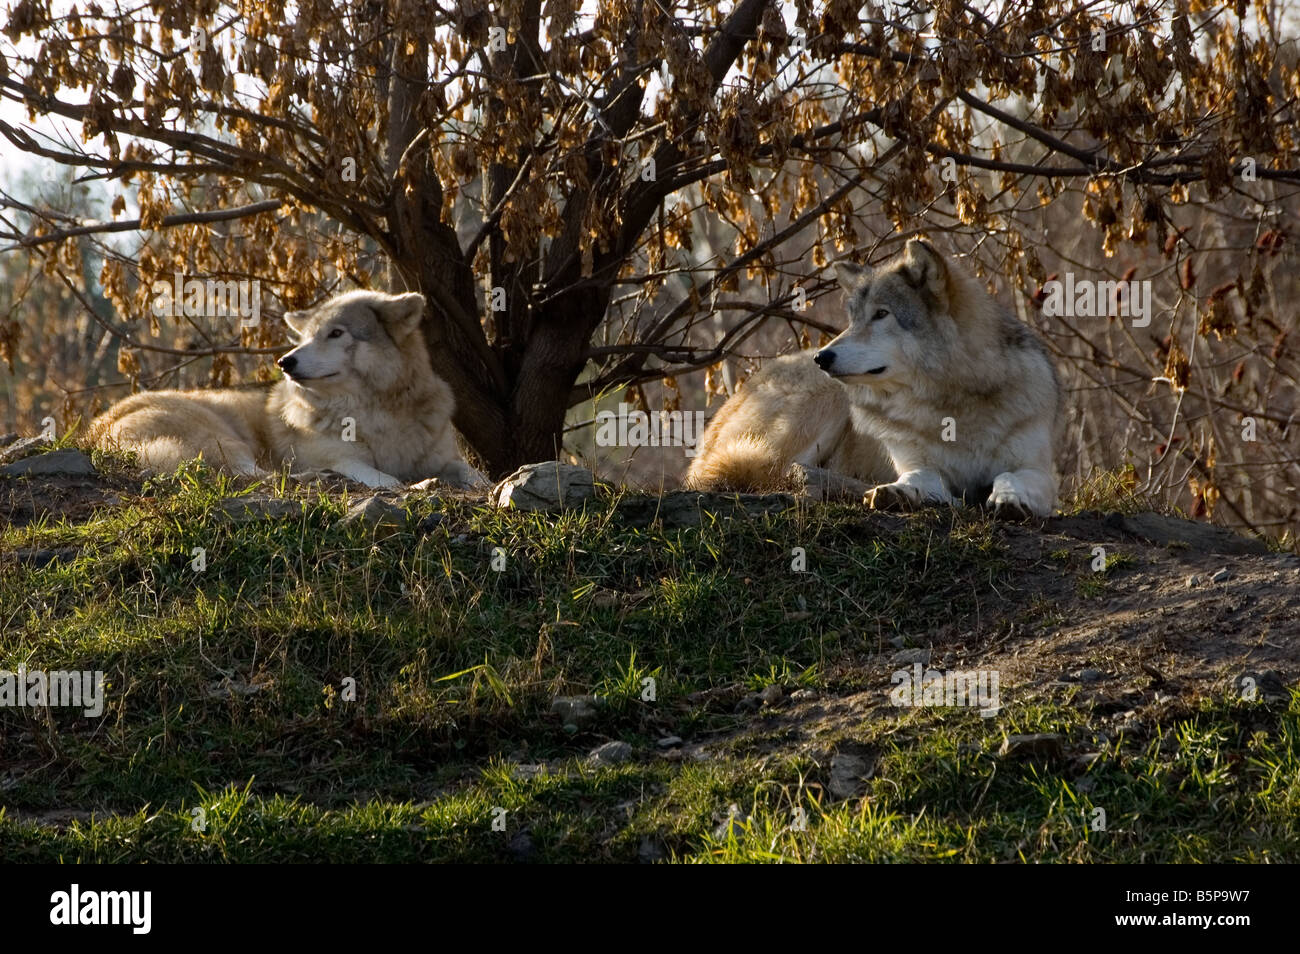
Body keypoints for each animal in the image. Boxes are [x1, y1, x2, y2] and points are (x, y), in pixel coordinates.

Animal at [87, 290, 488, 490]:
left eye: (336, 333)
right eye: (306, 336)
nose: (285, 362)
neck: (377, 411)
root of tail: (96, 428)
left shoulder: (446, 457)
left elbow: (475, 474)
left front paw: (482, 485)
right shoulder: (342, 457)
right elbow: (382, 478)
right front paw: (411, 485)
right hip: (221, 438)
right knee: (254, 476)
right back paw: (317, 479)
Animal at [685, 239, 1061, 518]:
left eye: (881, 314)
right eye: (853, 319)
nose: (822, 357)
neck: (951, 404)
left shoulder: (1039, 470)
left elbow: (1009, 475)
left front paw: (1009, 498)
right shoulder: (919, 463)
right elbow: (917, 477)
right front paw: (901, 491)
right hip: (829, 399)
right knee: (780, 471)